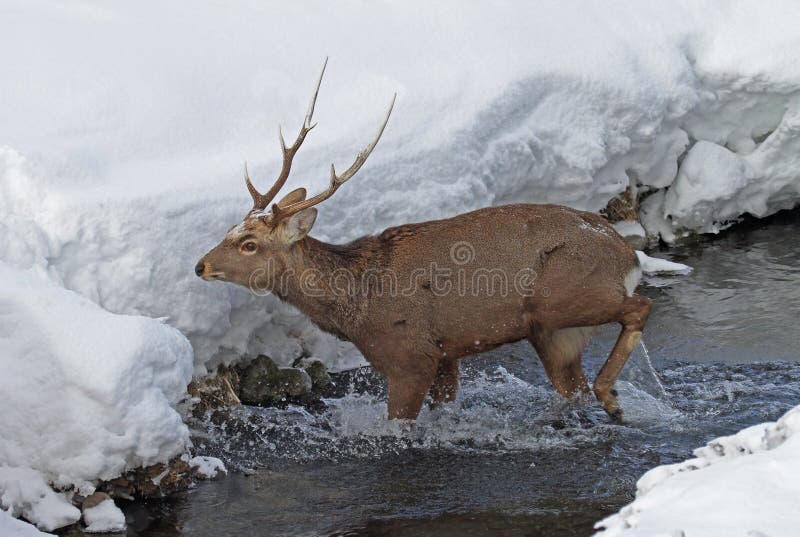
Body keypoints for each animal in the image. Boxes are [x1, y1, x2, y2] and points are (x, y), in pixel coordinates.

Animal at [195, 60, 651, 421]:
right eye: (230, 231)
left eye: (249, 244)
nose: (200, 265)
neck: (355, 305)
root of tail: (627, 256)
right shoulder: (447, 353)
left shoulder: (410, 354)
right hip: (554, 334)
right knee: (573, 387)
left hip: (566, 294)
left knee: (639, 306)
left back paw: (612, 398)